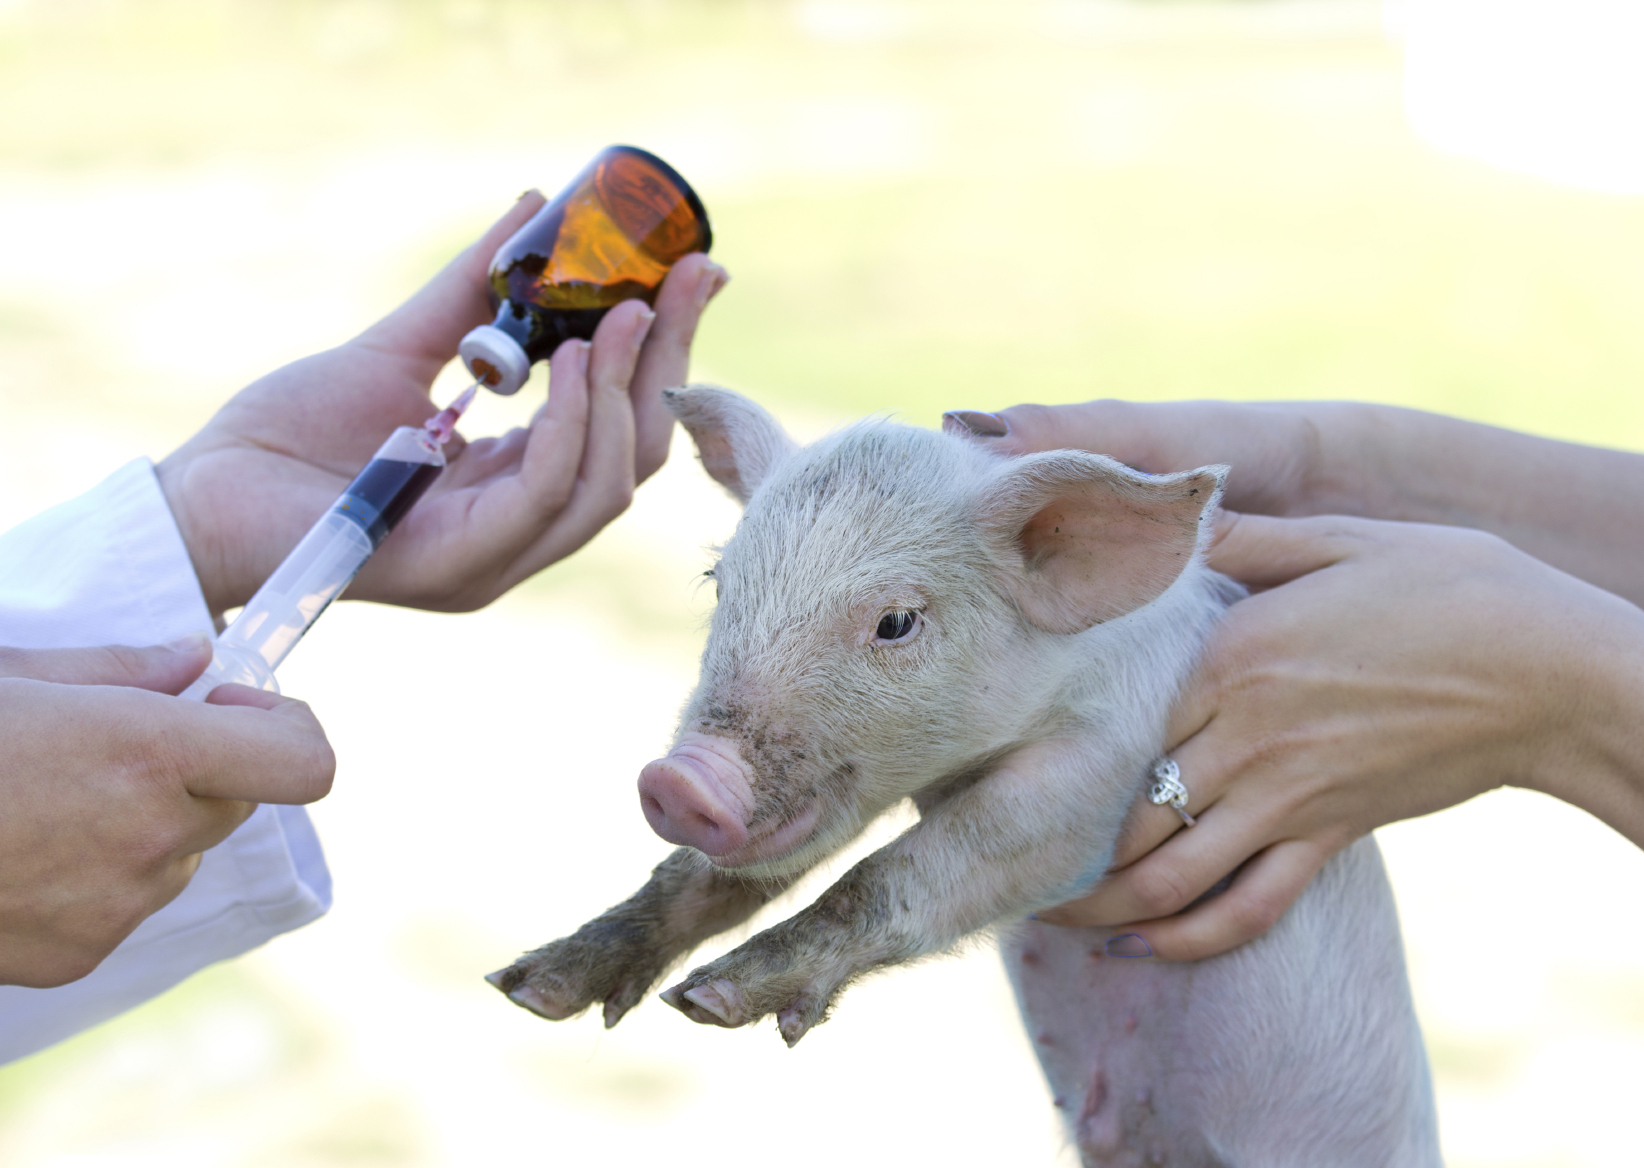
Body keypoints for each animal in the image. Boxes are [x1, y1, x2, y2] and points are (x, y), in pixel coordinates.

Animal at [488, 386, 1440, 1165]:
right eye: (719, 583)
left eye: (897, 621)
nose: (681, 781)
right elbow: (705, 877)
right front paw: (527, 990)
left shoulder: (1100, 776)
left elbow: (900, 870)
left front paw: (709, 1002)